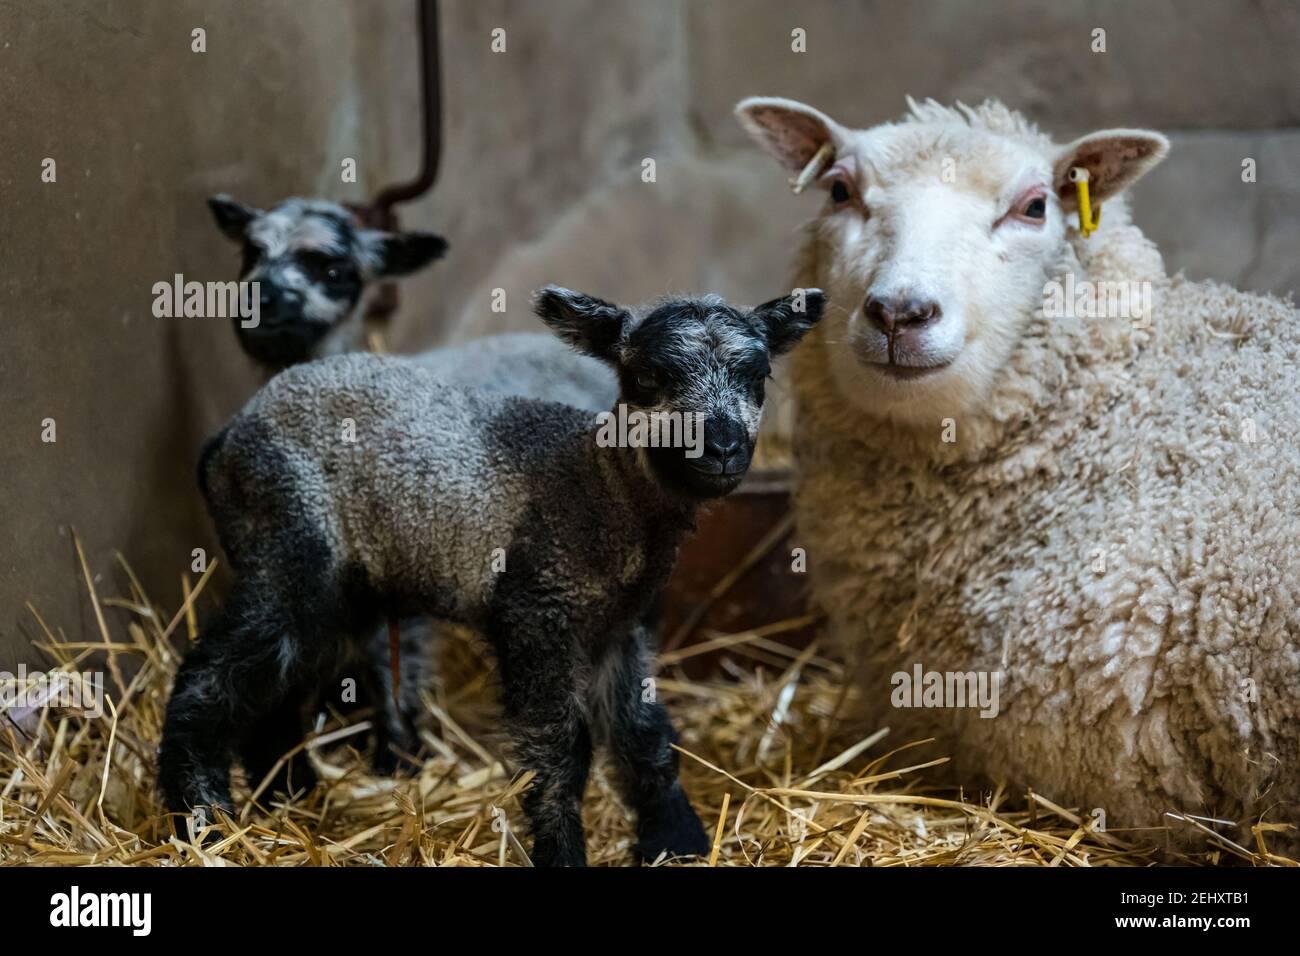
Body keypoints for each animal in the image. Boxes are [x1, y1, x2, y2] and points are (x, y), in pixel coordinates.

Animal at [159, 284, 825, 864]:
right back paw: (201, 817)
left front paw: (677, 840)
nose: (723, 448)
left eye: (756, 377)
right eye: (650, 378)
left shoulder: (619, 625)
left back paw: (285, 801)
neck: (600, 488)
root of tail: (228, 437)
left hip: (345, 588)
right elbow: (558, 750)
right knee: (209, 676)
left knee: (277, 690)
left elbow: (644, 735)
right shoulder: (535, 610)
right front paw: (562, 853)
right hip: (291, 546)